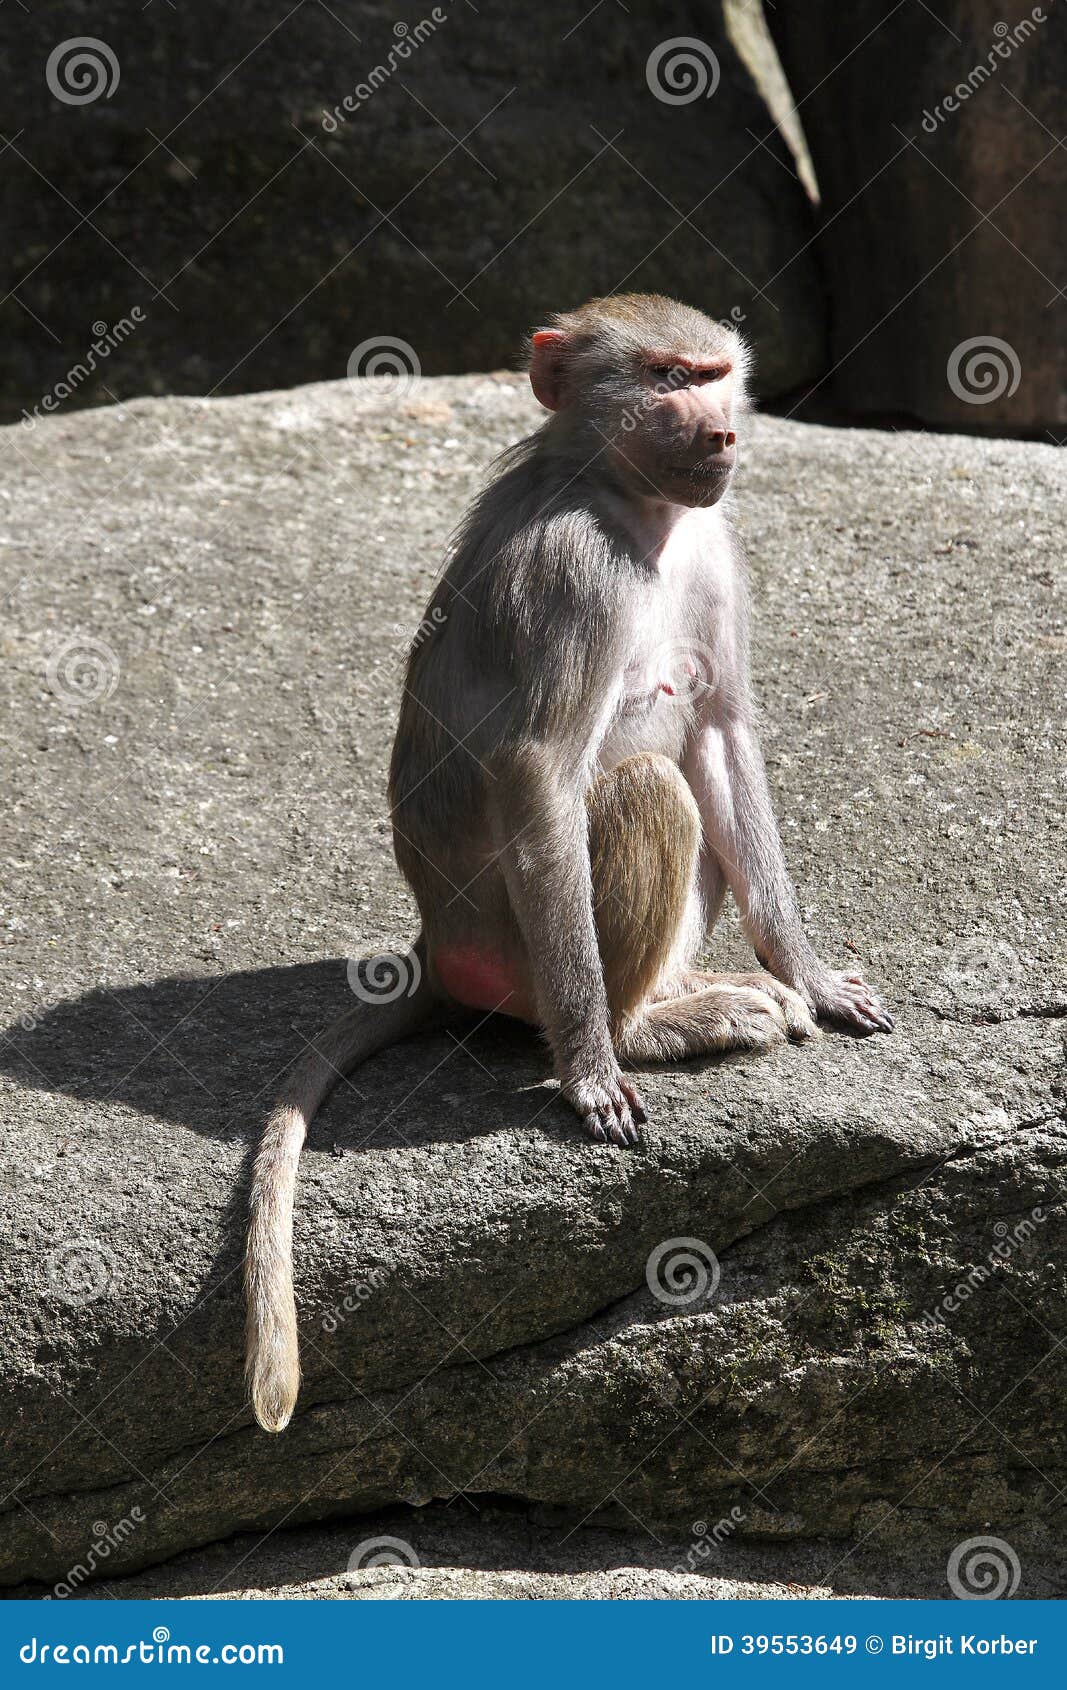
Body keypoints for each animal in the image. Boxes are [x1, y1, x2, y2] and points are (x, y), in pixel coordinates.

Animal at [245, 293, 894, 1433]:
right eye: (667, 378)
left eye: (716, 375)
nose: (723, 434)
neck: (631, 505)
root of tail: (435, 940)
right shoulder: (571, 573)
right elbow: (540, 774)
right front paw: (592, 1069)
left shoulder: (714, 546)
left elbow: (723, 730)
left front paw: (811, 974)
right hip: (515, 960)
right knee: (646, 787)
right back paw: (640, 1028)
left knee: (685, 769)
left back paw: (694, 992)